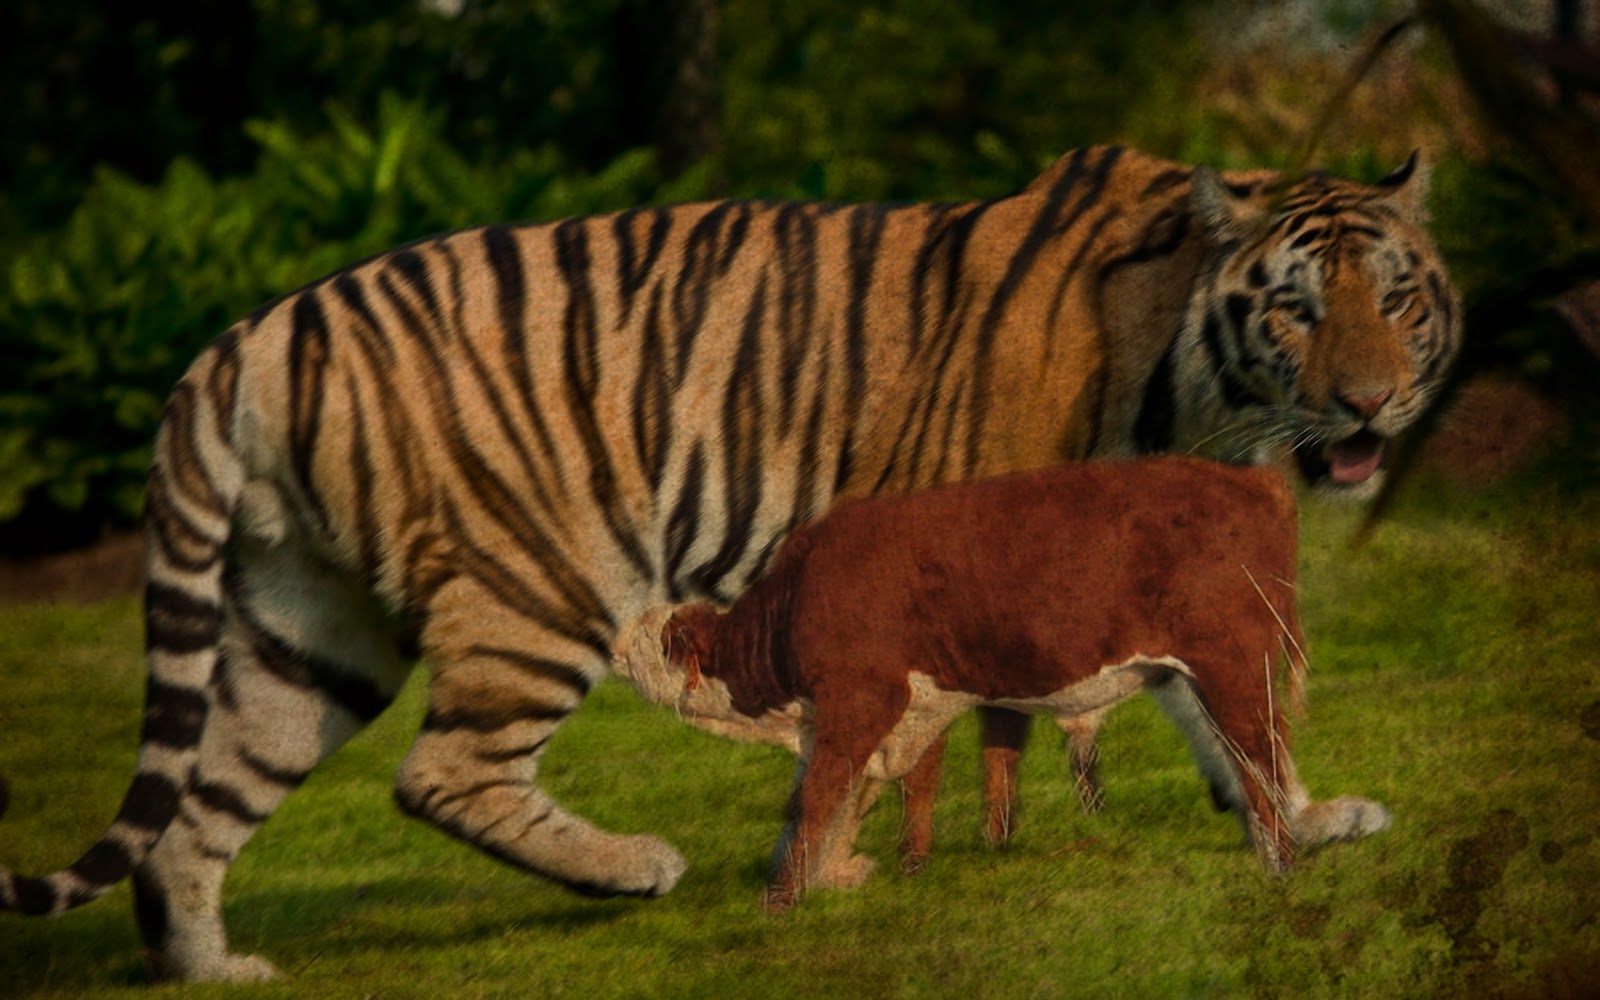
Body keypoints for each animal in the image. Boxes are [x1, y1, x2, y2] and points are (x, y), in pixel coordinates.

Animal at [0, 144, 1458, 982]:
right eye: (1297, 309)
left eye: (1396, 298)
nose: (1374, 406)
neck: (1193, 385)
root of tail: (239, 337)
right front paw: (829, 860)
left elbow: (1222, 710)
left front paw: (1301, 822)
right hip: (544, 578)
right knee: (440, 771)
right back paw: (636, 866)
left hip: (309, 629)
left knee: (199, 810)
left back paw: (214, 969)